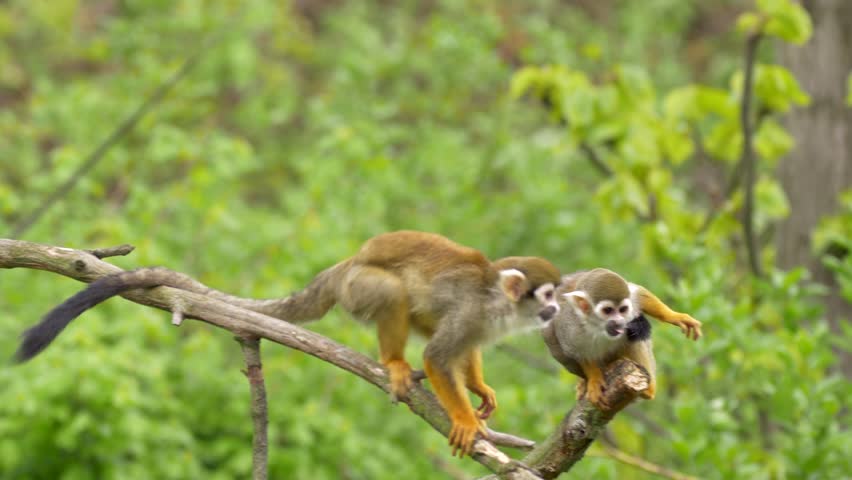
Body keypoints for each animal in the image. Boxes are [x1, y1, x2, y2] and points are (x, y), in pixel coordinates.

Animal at [15, 230, 562, 457]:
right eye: (549, 295)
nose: (556, 311)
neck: (496, 303)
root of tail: (344, 264)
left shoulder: (480, 322)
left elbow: (462, 352)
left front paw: (481, 392)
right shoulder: (472, 309)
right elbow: (439, 355)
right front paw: (466, 420)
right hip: (359, 286)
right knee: (393, 293)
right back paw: (393, 361)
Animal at [540, 268, 701, 408]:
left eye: (622, 309)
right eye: (608, 310)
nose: (618, 321)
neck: (597, 327)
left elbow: (638, 293)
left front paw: (674, 316)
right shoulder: (568, 326)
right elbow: (576, 352)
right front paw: (593, 379)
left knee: (634, 337)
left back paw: (648, 390)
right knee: (556, 345)